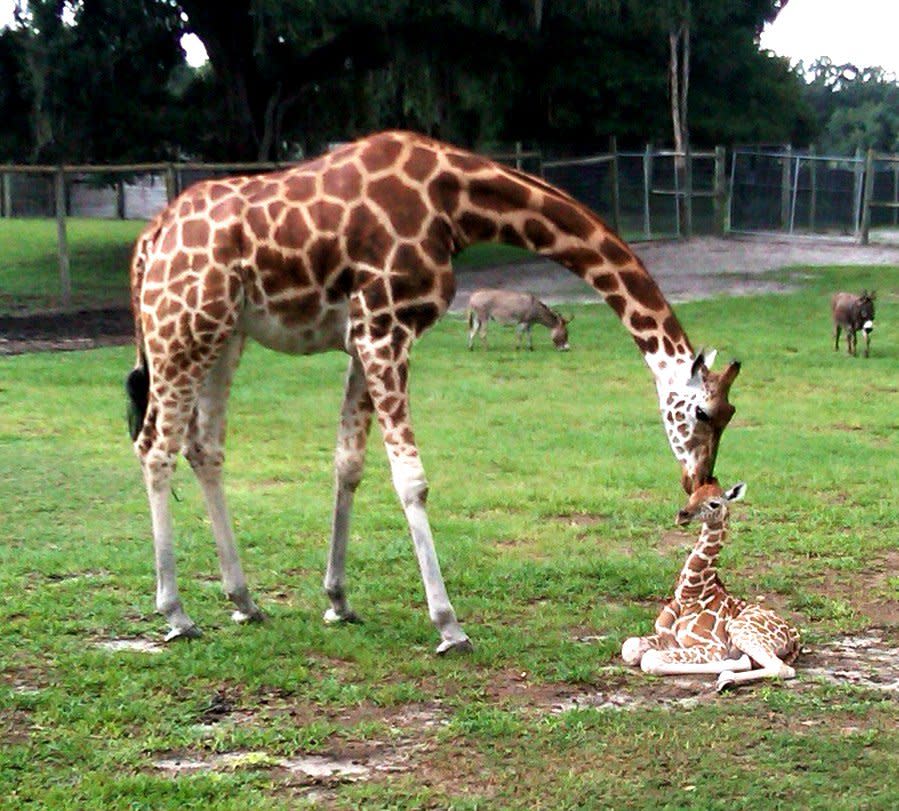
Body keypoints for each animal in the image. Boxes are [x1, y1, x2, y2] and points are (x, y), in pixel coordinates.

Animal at [126, 130, 740, 653]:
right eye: (704, 413)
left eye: (730, 414)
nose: (699, 483)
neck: (457, 204)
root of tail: (149, 242)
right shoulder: (385, 329)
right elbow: (411, 479)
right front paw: (449, 625)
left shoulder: (362, 339)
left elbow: (348, 463)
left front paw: (338, 601)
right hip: (181, 328)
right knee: (155, 446)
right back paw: (177, 612)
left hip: (225, 333)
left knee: (204, 447)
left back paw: (245, 601)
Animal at [621, 481, 801, 691]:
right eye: (692, 496)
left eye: (714, 503)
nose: (682, 515)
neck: (690, 595)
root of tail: (795, 637)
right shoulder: (666, 638)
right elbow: (629, 647)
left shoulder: (710, 646)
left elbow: (650, 660)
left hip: (741, 629)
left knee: (782, 668)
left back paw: (726, 679)